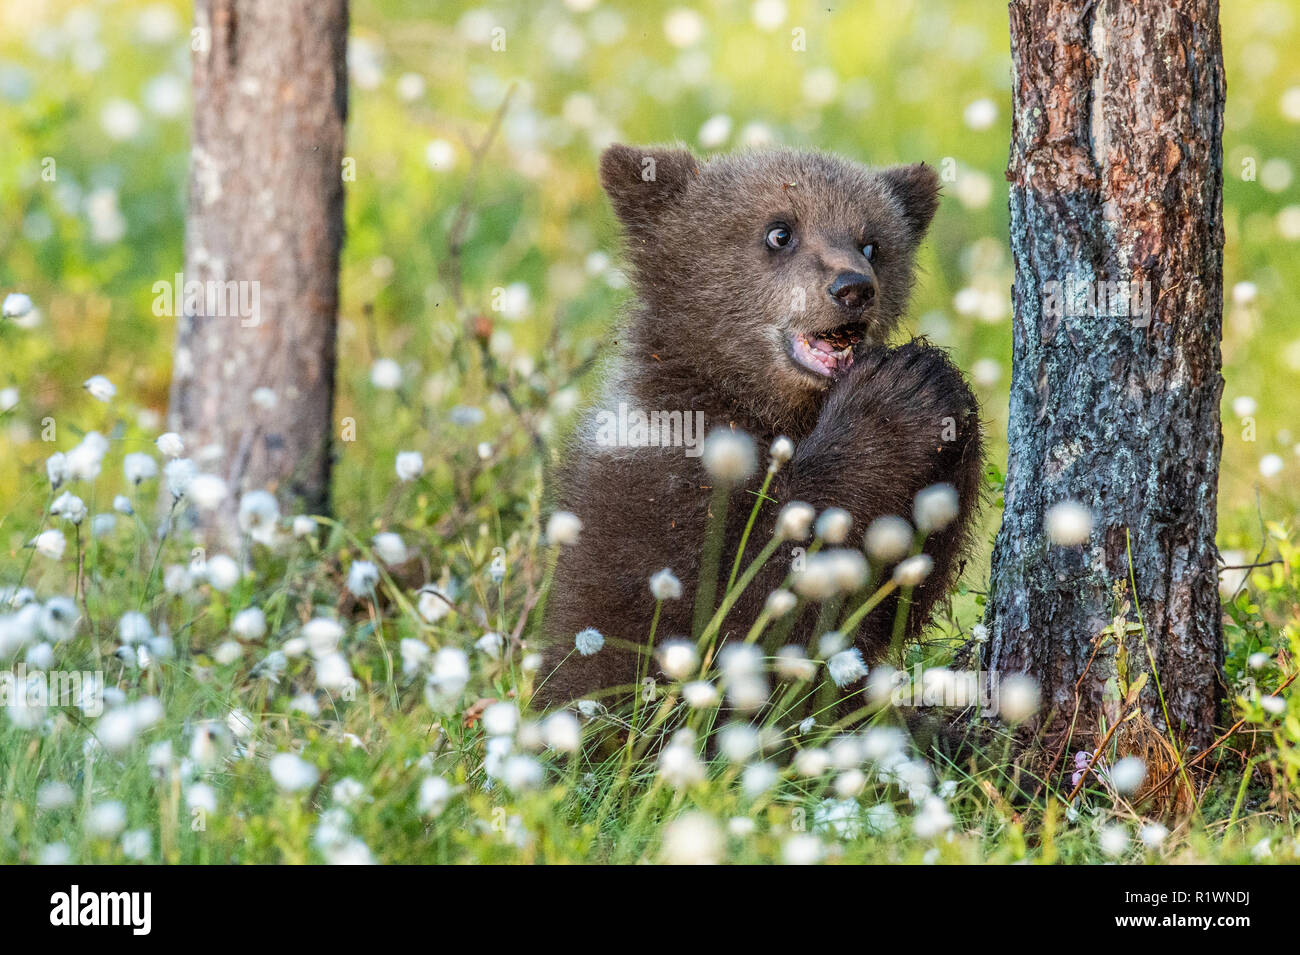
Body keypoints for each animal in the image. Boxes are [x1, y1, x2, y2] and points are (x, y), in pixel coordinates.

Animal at [533, 143, 983, 709]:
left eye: (873, 243)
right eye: (779, 231)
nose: (854, 287)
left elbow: (888, 596)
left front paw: (946, 393)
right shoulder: (652, 495)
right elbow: (739, 601)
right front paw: (898, 393)